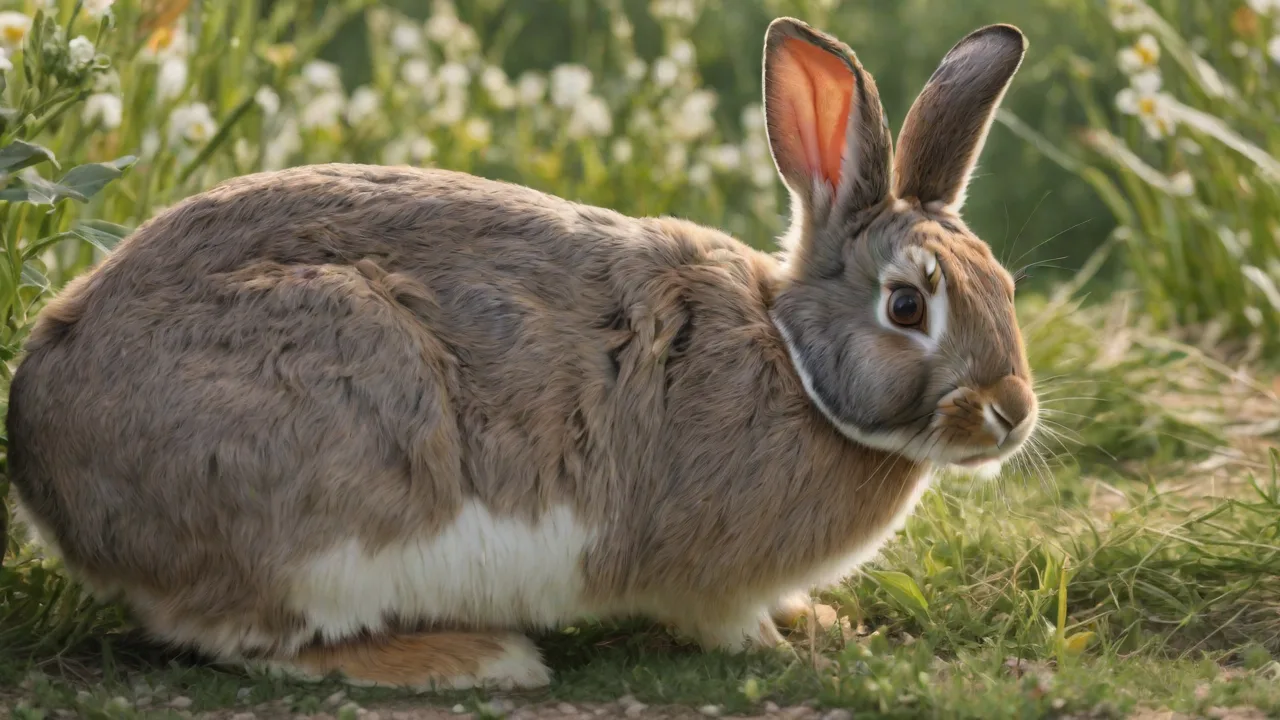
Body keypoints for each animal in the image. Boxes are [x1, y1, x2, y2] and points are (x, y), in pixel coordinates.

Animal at [5, 16, 1037, 691]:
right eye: (907, 305)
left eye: (1005, 285)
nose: (1012, 412)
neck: (791, 356)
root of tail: (45, 463)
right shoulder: (711, 578)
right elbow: (728, 622)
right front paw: (799, 642)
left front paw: (822, 618)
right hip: (334, 483)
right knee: (260, 641)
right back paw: (472, 657)